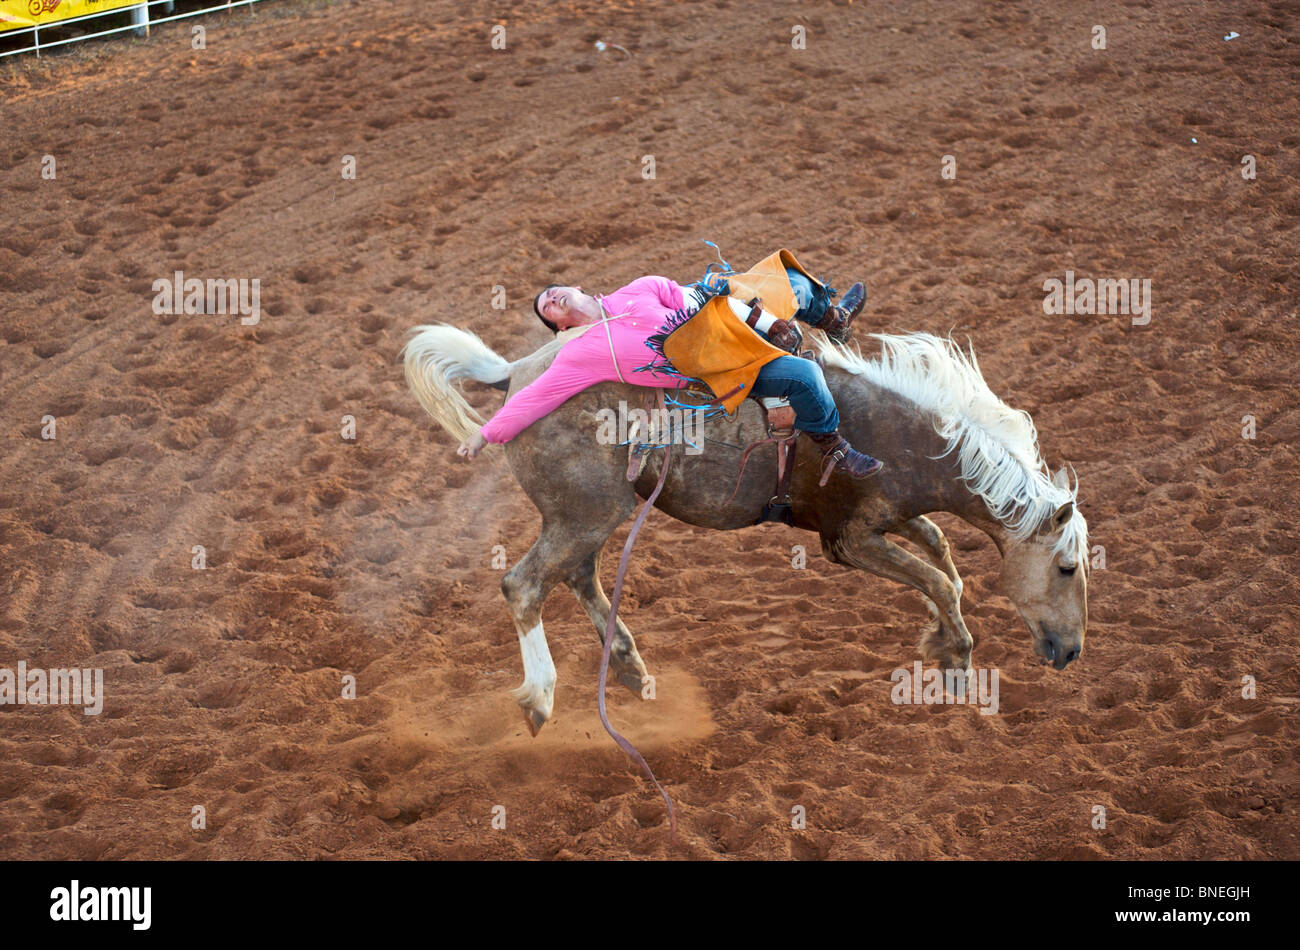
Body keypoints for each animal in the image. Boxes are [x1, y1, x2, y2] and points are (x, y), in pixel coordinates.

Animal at [403, 325, 1090, 737]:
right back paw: (542, 697)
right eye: (1066, 567)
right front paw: (956, 663)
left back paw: (630, 668)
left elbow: (941, 555)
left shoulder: (886, 518)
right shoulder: (848, 541)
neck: (896, 434)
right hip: (587, 512)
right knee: (524, 585)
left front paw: (940, 641)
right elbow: (941, 581)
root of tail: (516, 374)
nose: (1072, 650)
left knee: (577, 575)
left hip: (589, 516)